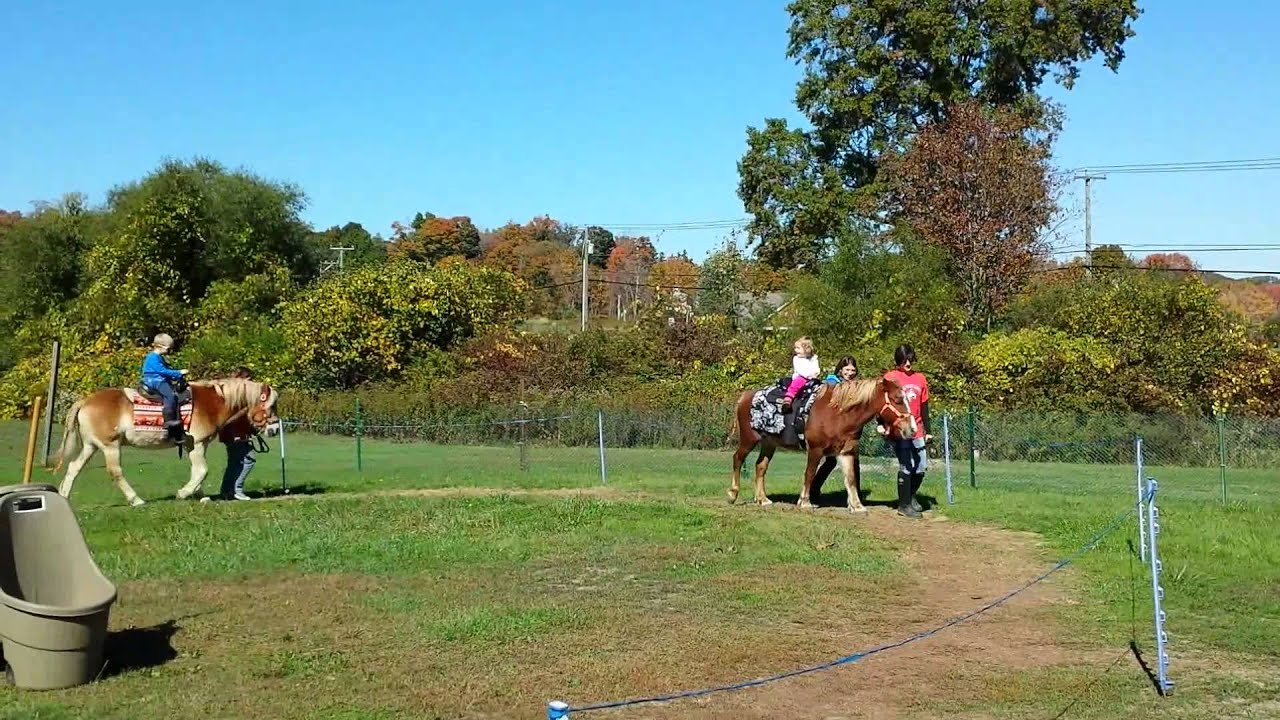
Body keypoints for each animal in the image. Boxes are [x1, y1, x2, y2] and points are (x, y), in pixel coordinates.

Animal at [50, 376, 280, 507]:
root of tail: (84, 401)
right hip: (110, 446)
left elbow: (197, 470)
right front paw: (184, 493)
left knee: (73, 468)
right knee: (116, 472)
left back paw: (64, 497)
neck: (211, 404)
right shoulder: (197, 444)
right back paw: (136, 500)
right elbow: (202, 471)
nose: (275, 429)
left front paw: (200, 495)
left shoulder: (193, 446)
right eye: (272, 405)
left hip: (91, 446)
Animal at [728, 375, 917, 513]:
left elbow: (851, 478)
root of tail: (745, 397)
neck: (837, 414)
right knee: (737, 459)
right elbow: (810, 474)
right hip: (749, 440)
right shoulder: (815, 450)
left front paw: (857, 506)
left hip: (769, 443)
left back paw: (762, 499)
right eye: (897, 399)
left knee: (760, 466)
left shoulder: (846, 452)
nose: (912, 429)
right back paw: (733, 494)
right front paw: (805, 502)